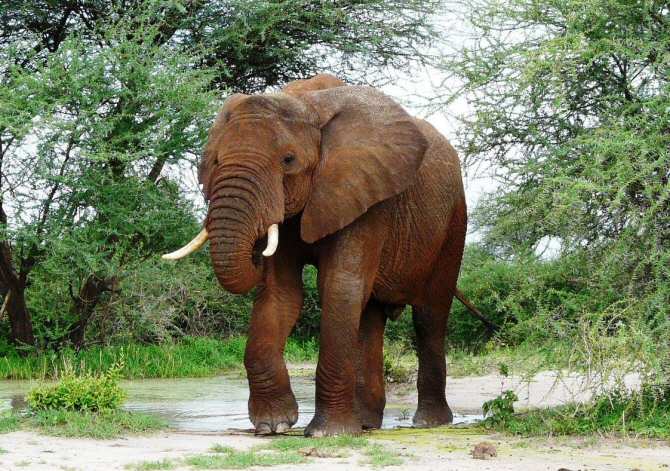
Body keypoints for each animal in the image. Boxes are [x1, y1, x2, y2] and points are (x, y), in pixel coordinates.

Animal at [163, 74, 467, 437]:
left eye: (288, 160)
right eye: (215, 162)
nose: (255, 249)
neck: (306, 103)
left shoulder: (364, 195)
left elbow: (339, 286)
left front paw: (328, 433)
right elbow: (281, 293)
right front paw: (273, 426)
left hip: (453, 221)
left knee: (429, 316)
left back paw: (428, 422)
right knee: (371, 318)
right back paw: (366, 423)